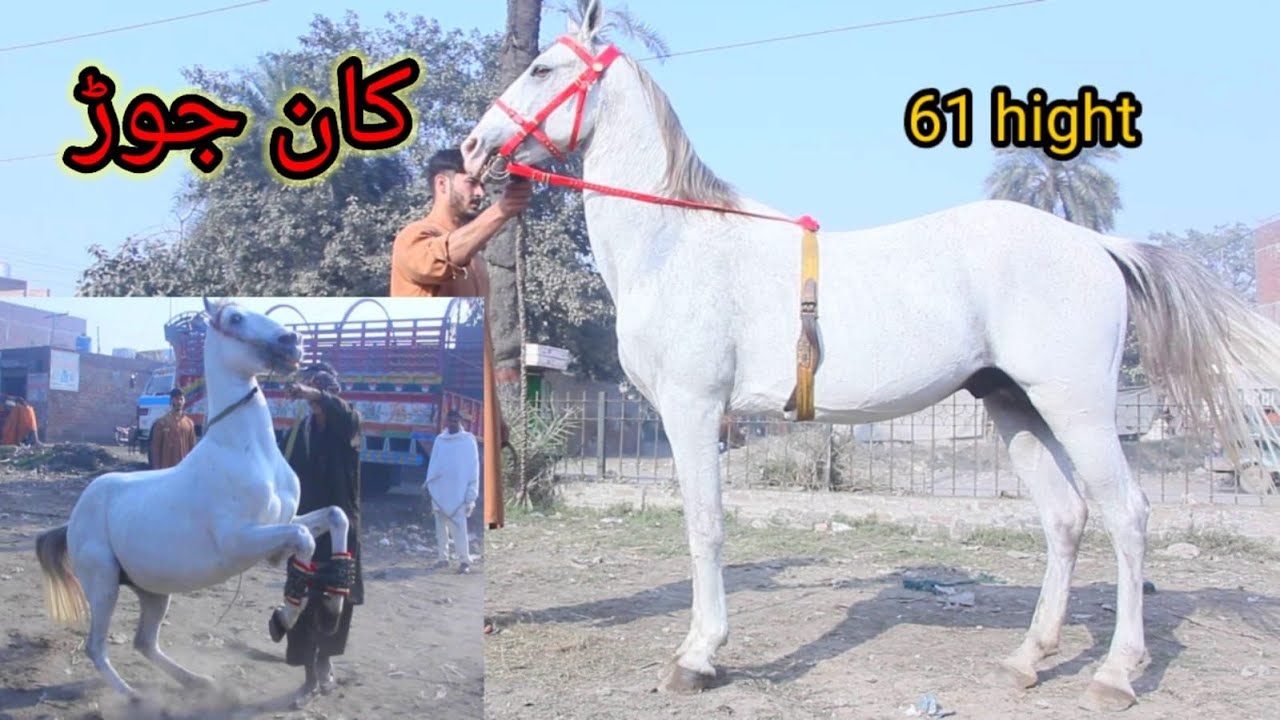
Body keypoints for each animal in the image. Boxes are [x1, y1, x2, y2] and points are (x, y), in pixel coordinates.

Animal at [35, 298, 355, 702]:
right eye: (235, 317)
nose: (292, 342)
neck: (248, 452)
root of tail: (73, 520)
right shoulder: (240, 541)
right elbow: (305, 541)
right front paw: (282, 618)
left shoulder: (283, 522)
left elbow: (336, 516)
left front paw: (332, 604)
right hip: (103, 583)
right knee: (96, 646)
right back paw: (135, 698)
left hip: (152, 591)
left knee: (144, 642)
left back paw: (197, 682)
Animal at [460, 1, 1280, 711]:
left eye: (541, 68)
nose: (473, 147)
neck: (678, 242)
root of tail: (1097, 245)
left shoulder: (694, 410)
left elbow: (706, 528)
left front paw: (698, 656)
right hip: (1014, 407)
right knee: (1066, 518)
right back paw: (1026, 658)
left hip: (1074, 408)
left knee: (1128, 517)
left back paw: (1115, 673)